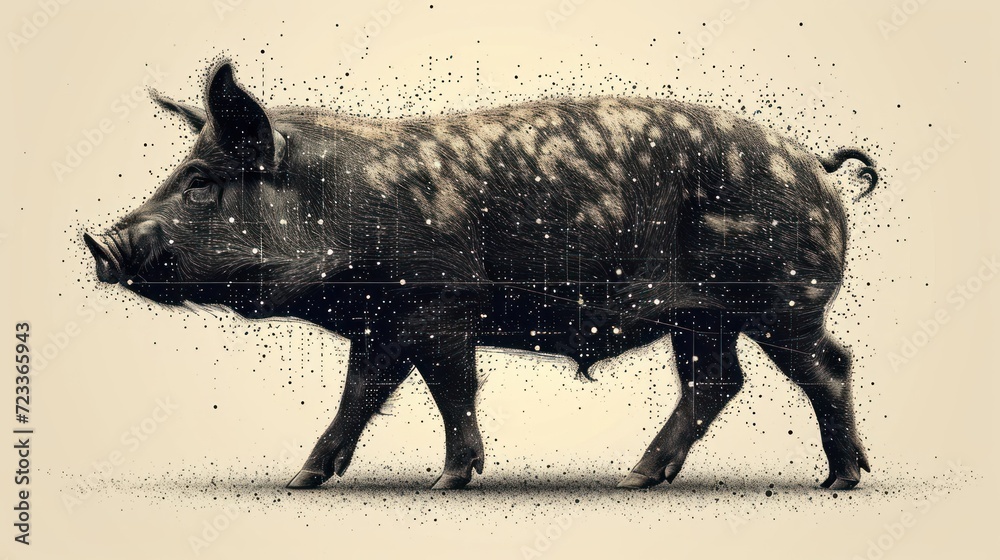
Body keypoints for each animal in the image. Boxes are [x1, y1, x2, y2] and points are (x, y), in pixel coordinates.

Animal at [84, 60, 877, 491]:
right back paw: (636, 476)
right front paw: (302, 479)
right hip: (703, 316)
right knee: (716, 381)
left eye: (199, 182)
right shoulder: (382, 320)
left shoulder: (441, 301)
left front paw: (447, 481)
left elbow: (448, 388)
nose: (99, 242)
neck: (340, 203)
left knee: (830, 365)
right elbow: (363, 393)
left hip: (780, 300)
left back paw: (840, 480)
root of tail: (816, 166)